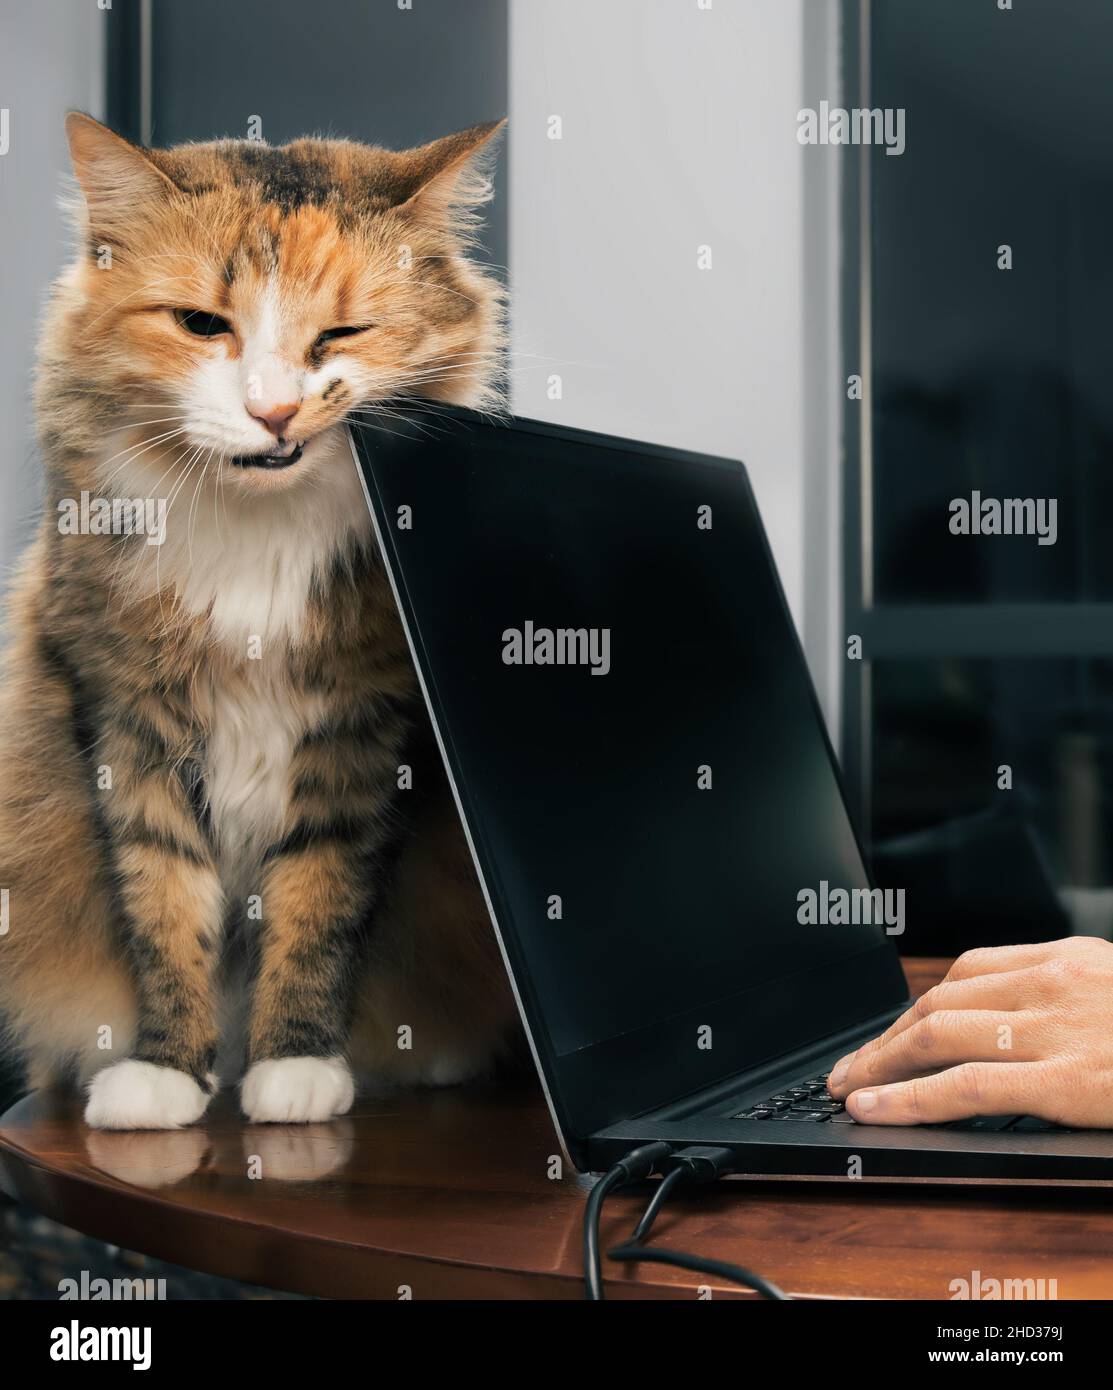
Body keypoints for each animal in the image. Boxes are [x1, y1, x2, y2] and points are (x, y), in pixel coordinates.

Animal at [0, 108, 516, 1128]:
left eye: (342, 333)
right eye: (202, 325)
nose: (274, 413)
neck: (256, 532)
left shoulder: (362, 730)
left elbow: (316, 908)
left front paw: (294, 1067)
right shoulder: (129, 723)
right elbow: (164, 907)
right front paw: (167, 1073)